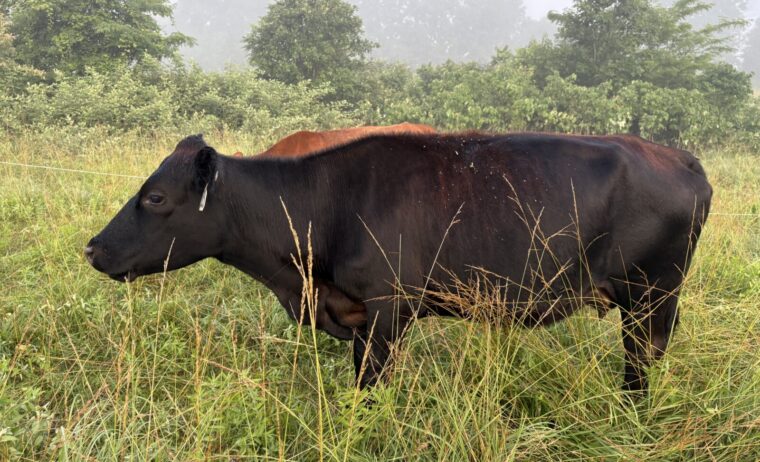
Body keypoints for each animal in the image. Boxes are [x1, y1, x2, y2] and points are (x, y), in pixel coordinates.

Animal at [85, 132, 711, 394]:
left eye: (155, 197)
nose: (92, 248)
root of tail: (678, 156)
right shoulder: (360, 317)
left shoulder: (389, 311)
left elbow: (371, 389)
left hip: (652, 298)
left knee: (640, 367)